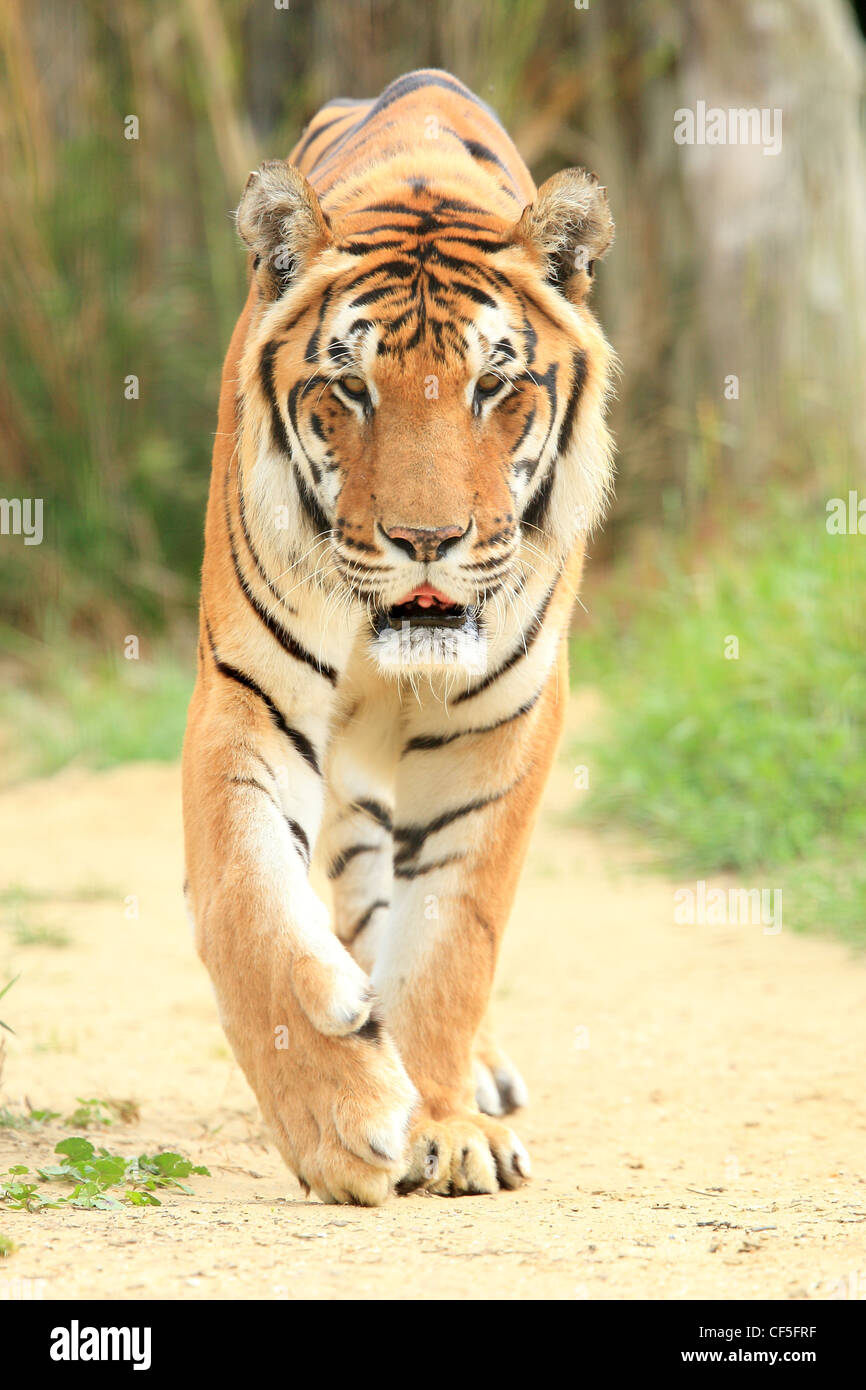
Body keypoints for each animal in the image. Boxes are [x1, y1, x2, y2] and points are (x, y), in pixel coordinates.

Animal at [182, 69, 615, 1204]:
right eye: (350, 389)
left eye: (492, 387)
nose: (427, 541)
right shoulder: (247, 698)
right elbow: (248, 908)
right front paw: (342, 1121)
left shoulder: (503, 724)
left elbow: (451, 939)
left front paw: (447, 1126)